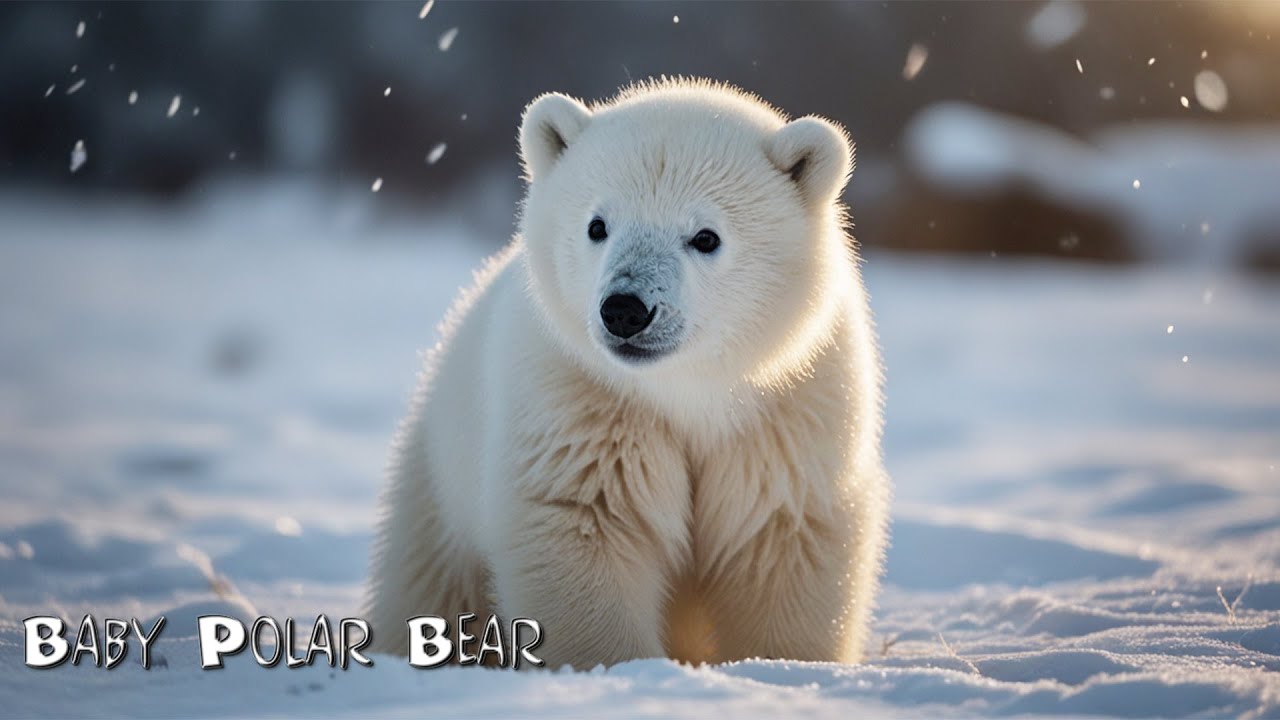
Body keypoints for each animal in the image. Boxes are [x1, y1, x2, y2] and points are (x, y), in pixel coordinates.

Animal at [366, 77, 889, 669]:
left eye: (706, 236)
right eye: (598, 225)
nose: (625, 310)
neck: (688, 391)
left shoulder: (788, 411)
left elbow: (782, 538)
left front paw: (782, 666)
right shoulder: (580, 400)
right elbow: (587, 527)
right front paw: (619, 667)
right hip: (439, 488)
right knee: (431, 585)